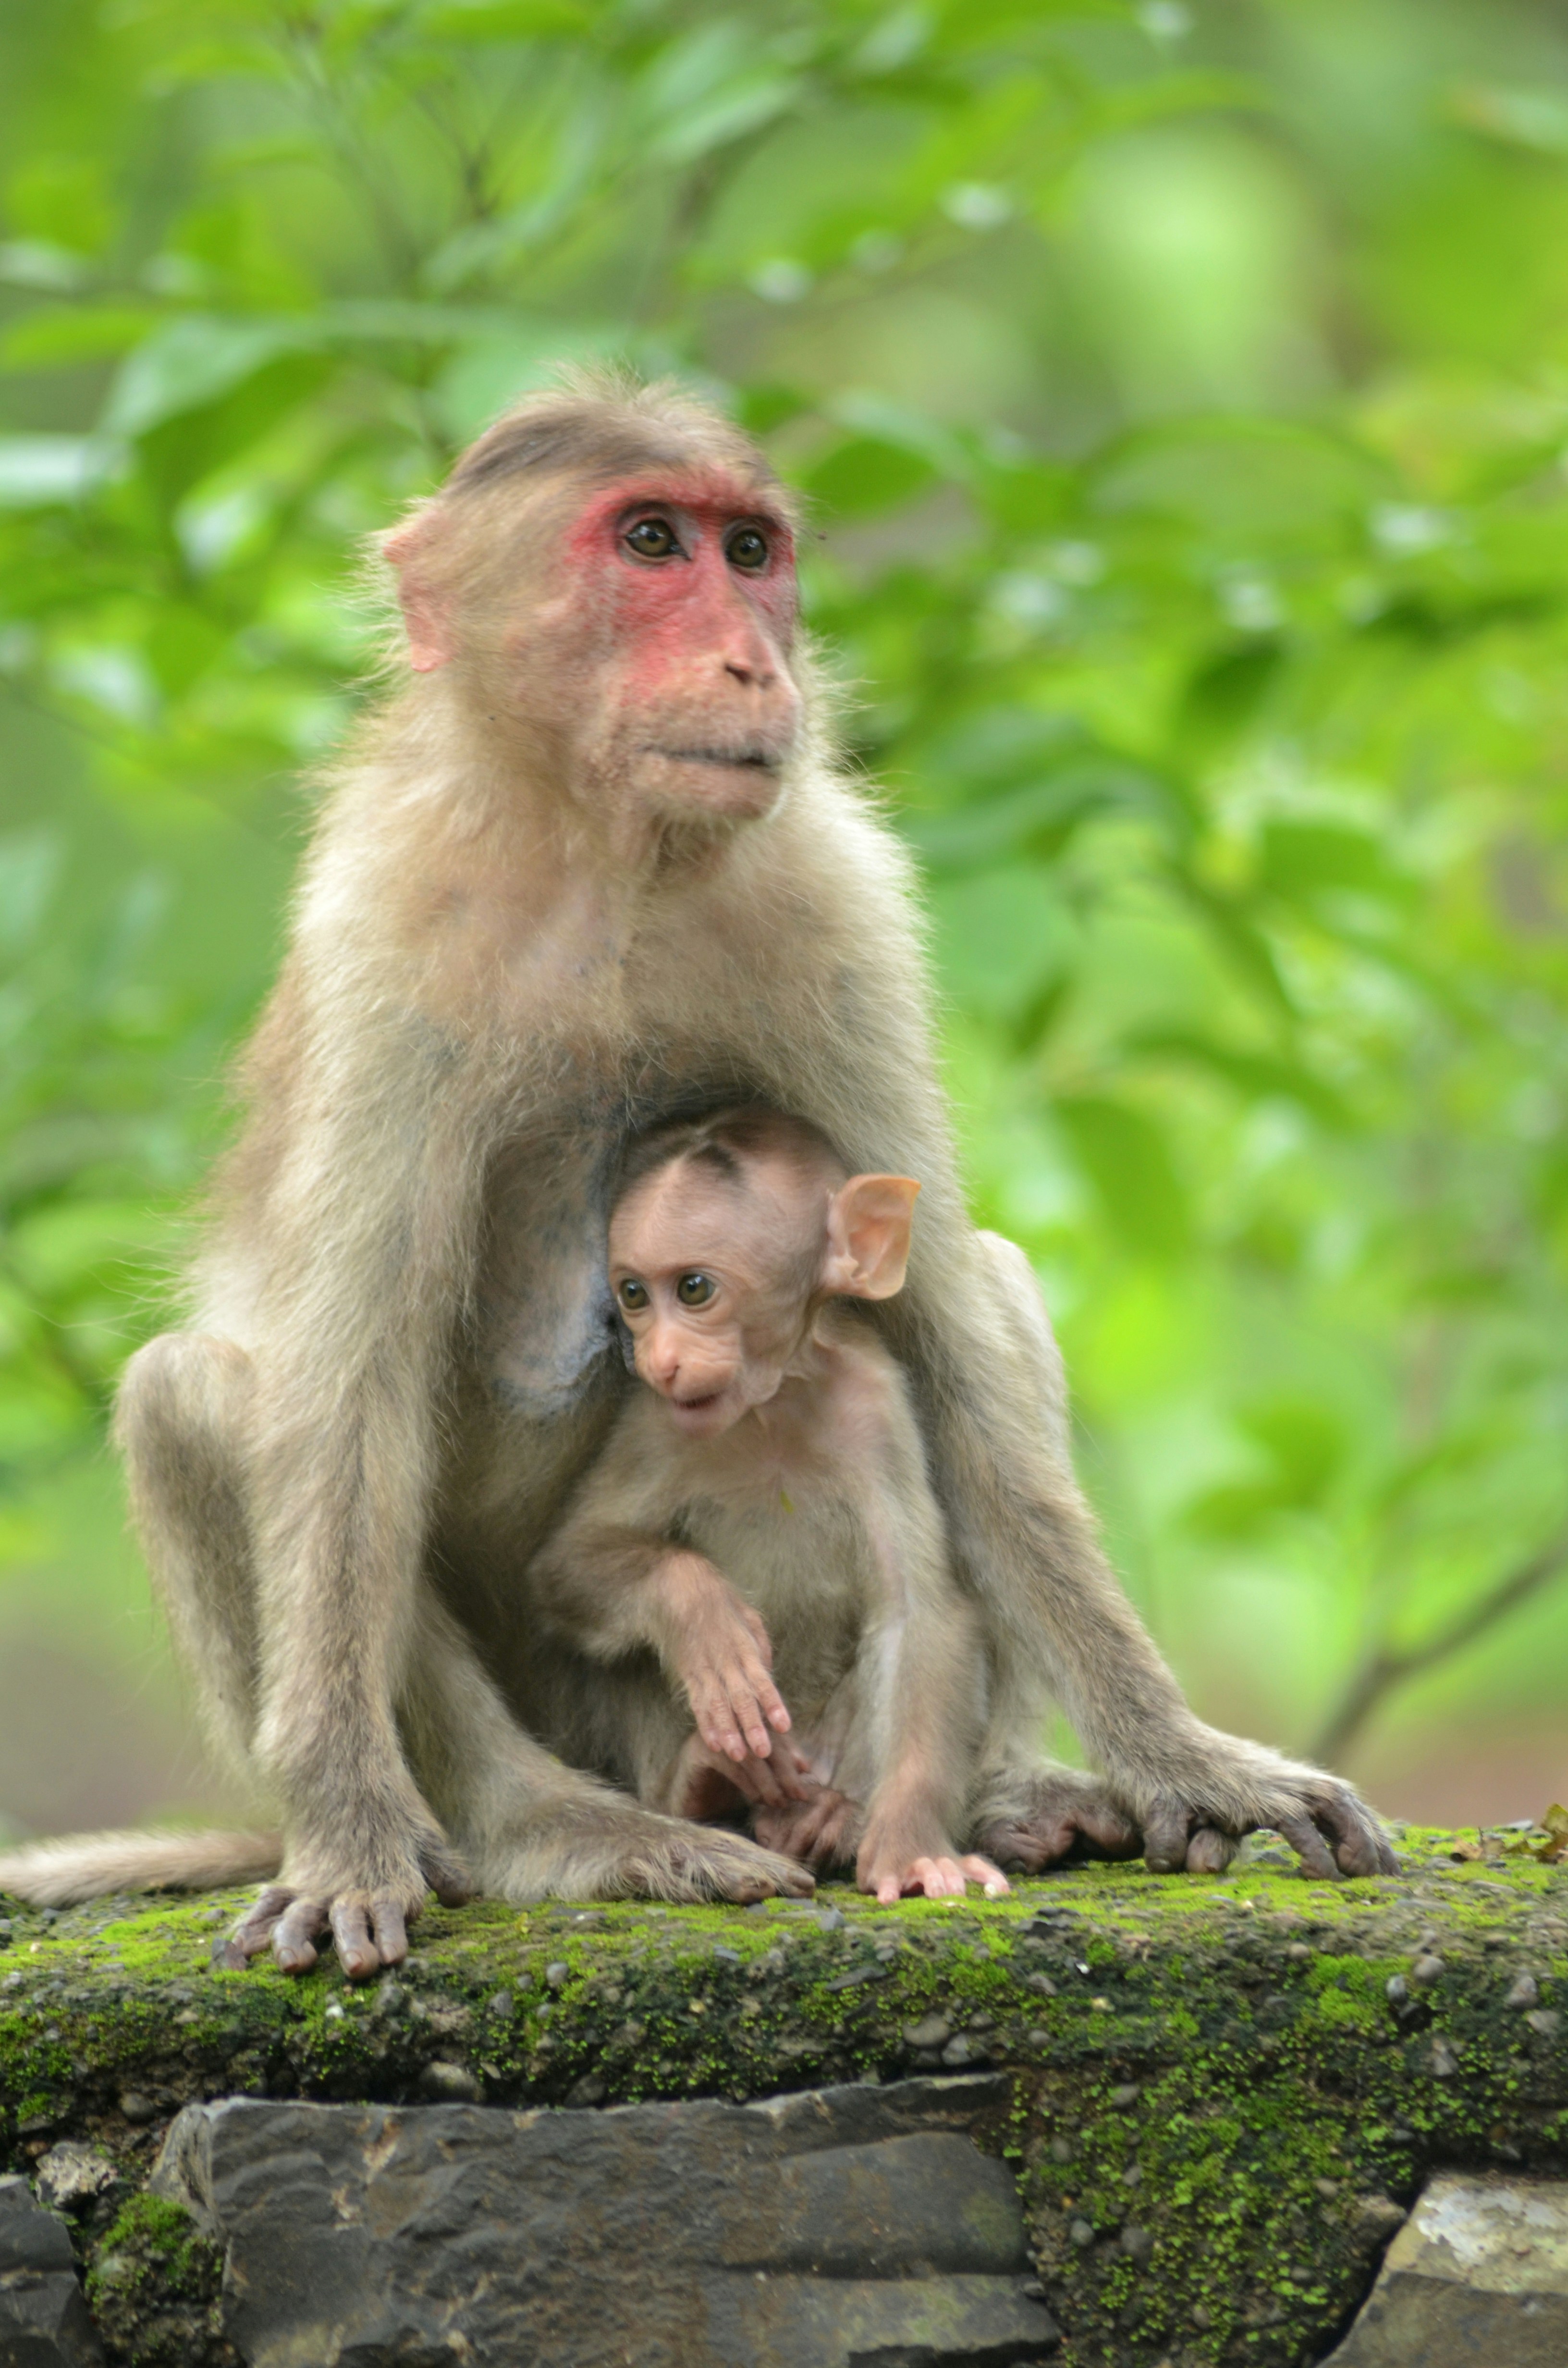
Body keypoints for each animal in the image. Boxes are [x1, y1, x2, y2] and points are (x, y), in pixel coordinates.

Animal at [524, 1106, 1012, 1904]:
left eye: (694, 1289)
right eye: (633, 1294)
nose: (659, 1359)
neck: (772, 1406)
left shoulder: (876, 1408)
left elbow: (918, 1610)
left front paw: (910, 1847)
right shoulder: (657, 1424)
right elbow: (567, 1563)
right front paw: (706, 1622)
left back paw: (833, 1820)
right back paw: (703, 1780)